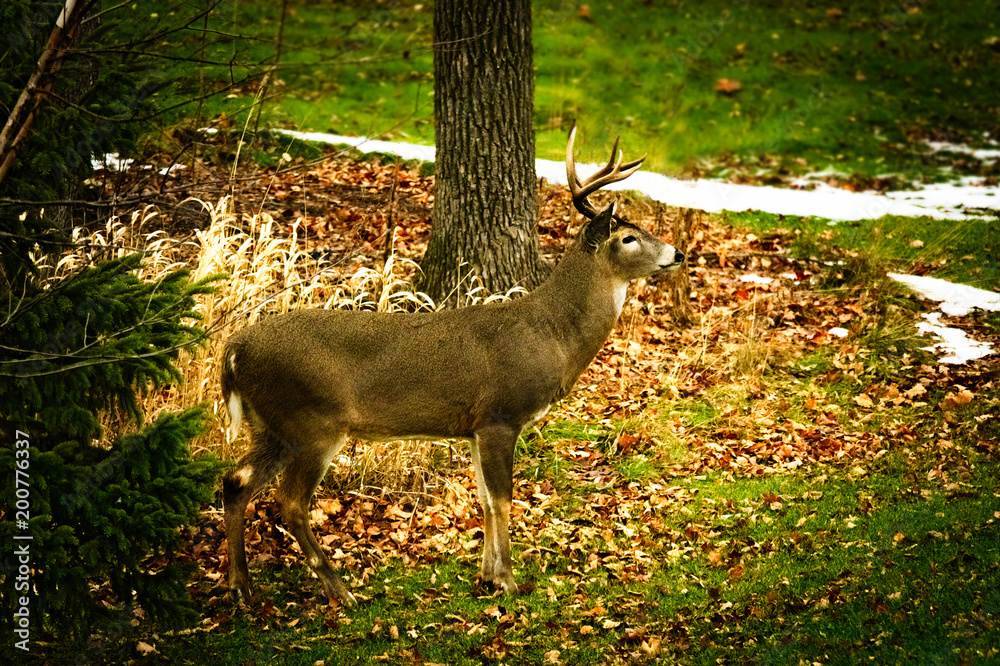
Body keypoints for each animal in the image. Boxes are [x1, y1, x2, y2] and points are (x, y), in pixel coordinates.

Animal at [220, 124, 686, 608]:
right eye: (627, 238)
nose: (677, 254)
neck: (552, 335)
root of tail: (233, 350)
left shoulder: (474, 428)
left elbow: (482, 499)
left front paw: (487, 575)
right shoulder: (501, 415)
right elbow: (502, 499)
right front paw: (508, 580)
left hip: (271, 425)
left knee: (235, 481)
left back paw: (241, 585)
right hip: (313, 421)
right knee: (290, 502)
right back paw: (339, 590)